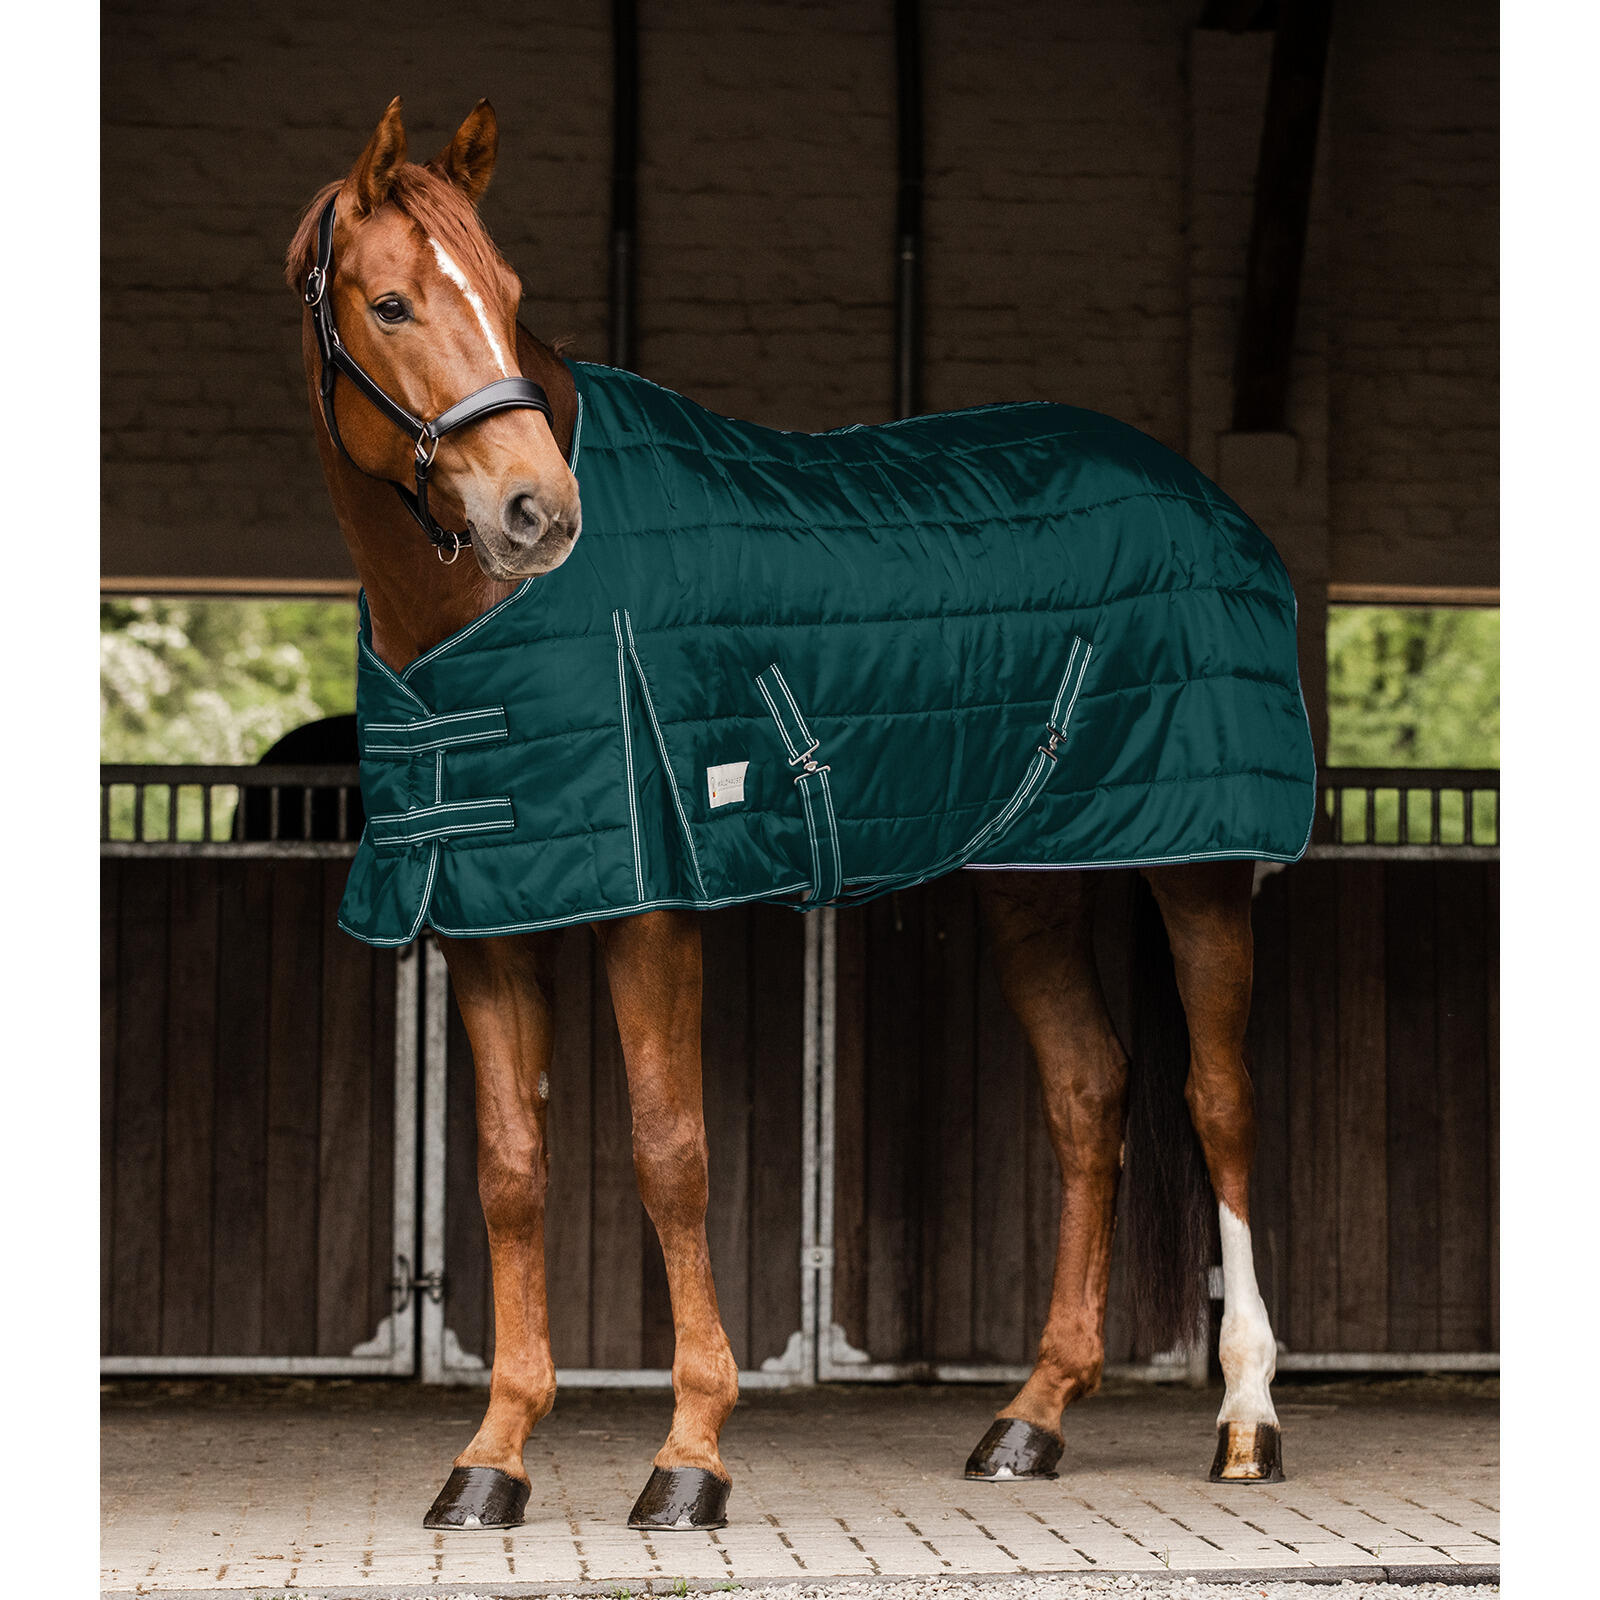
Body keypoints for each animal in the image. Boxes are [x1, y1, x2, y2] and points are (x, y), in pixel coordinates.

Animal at [287, 97, 1288, 1532]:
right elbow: (510, 1170)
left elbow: (670, 1153)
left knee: (1220, 1103)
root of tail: (1205, 499)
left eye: (511, 295)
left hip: (1198, 865)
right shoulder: (489, 907)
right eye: (390, 303)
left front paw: (690, 1457)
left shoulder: (651, 904)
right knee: (1089, 1095)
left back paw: (1248, 1415)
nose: (539, 512)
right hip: (1031, 877)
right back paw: (1031, 1417)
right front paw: (491, 1458)